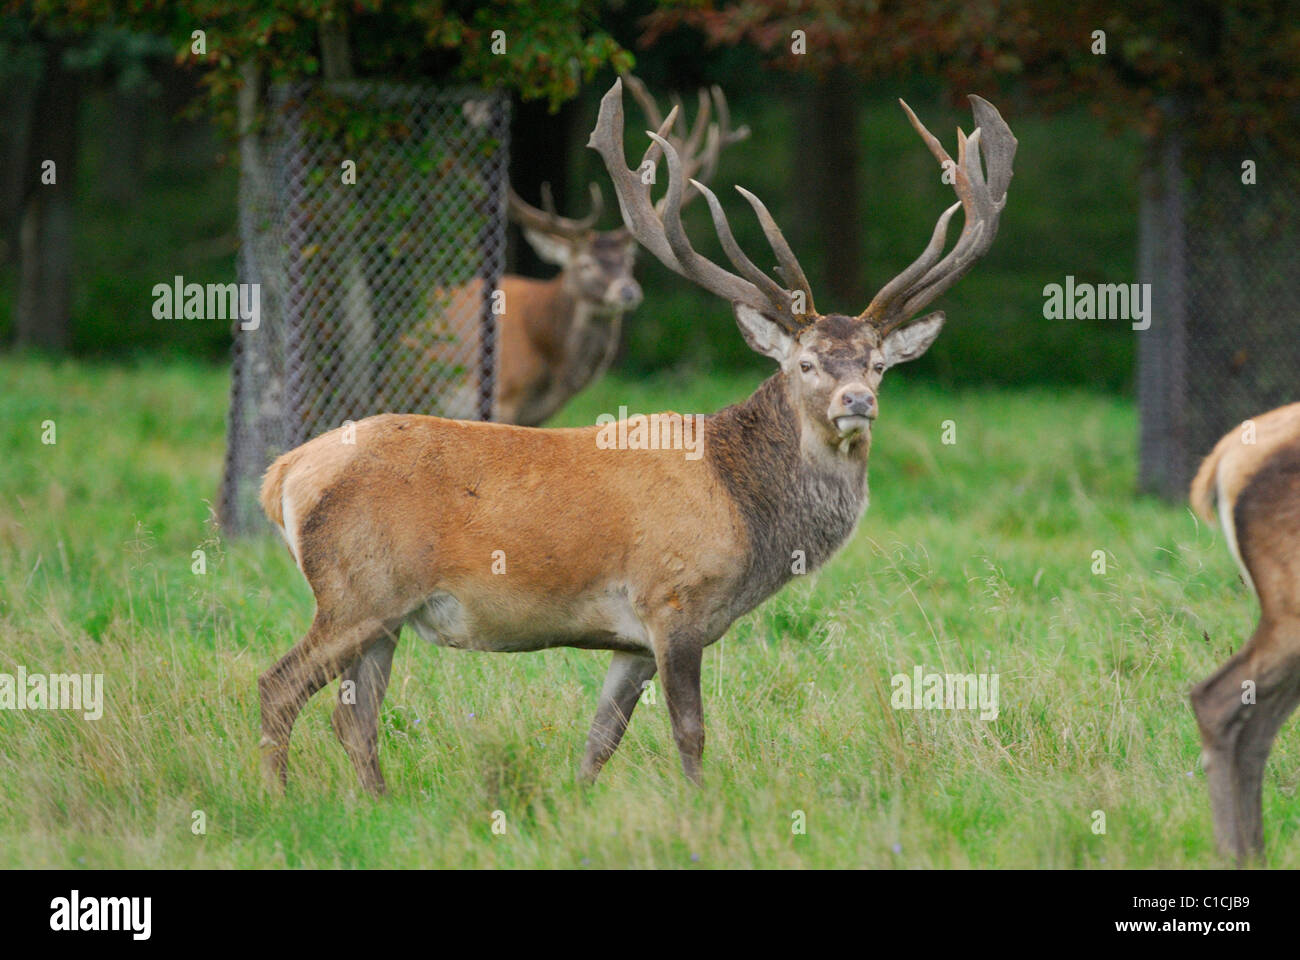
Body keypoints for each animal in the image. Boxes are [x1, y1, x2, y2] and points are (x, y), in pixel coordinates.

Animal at [256, 77, 1016, 794]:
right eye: (804, 364)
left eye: (879, 364)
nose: (857, 401)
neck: (746, 508)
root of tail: (283, 474)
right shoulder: (673, 601)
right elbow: (691, 732)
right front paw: (702, 808)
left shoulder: (632, 642)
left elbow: (600, 740)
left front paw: (576, 804)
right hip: (357, 588)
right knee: (278, 686)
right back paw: (278, 799)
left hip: (385, 614)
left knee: (354, 715)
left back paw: (378, 802)